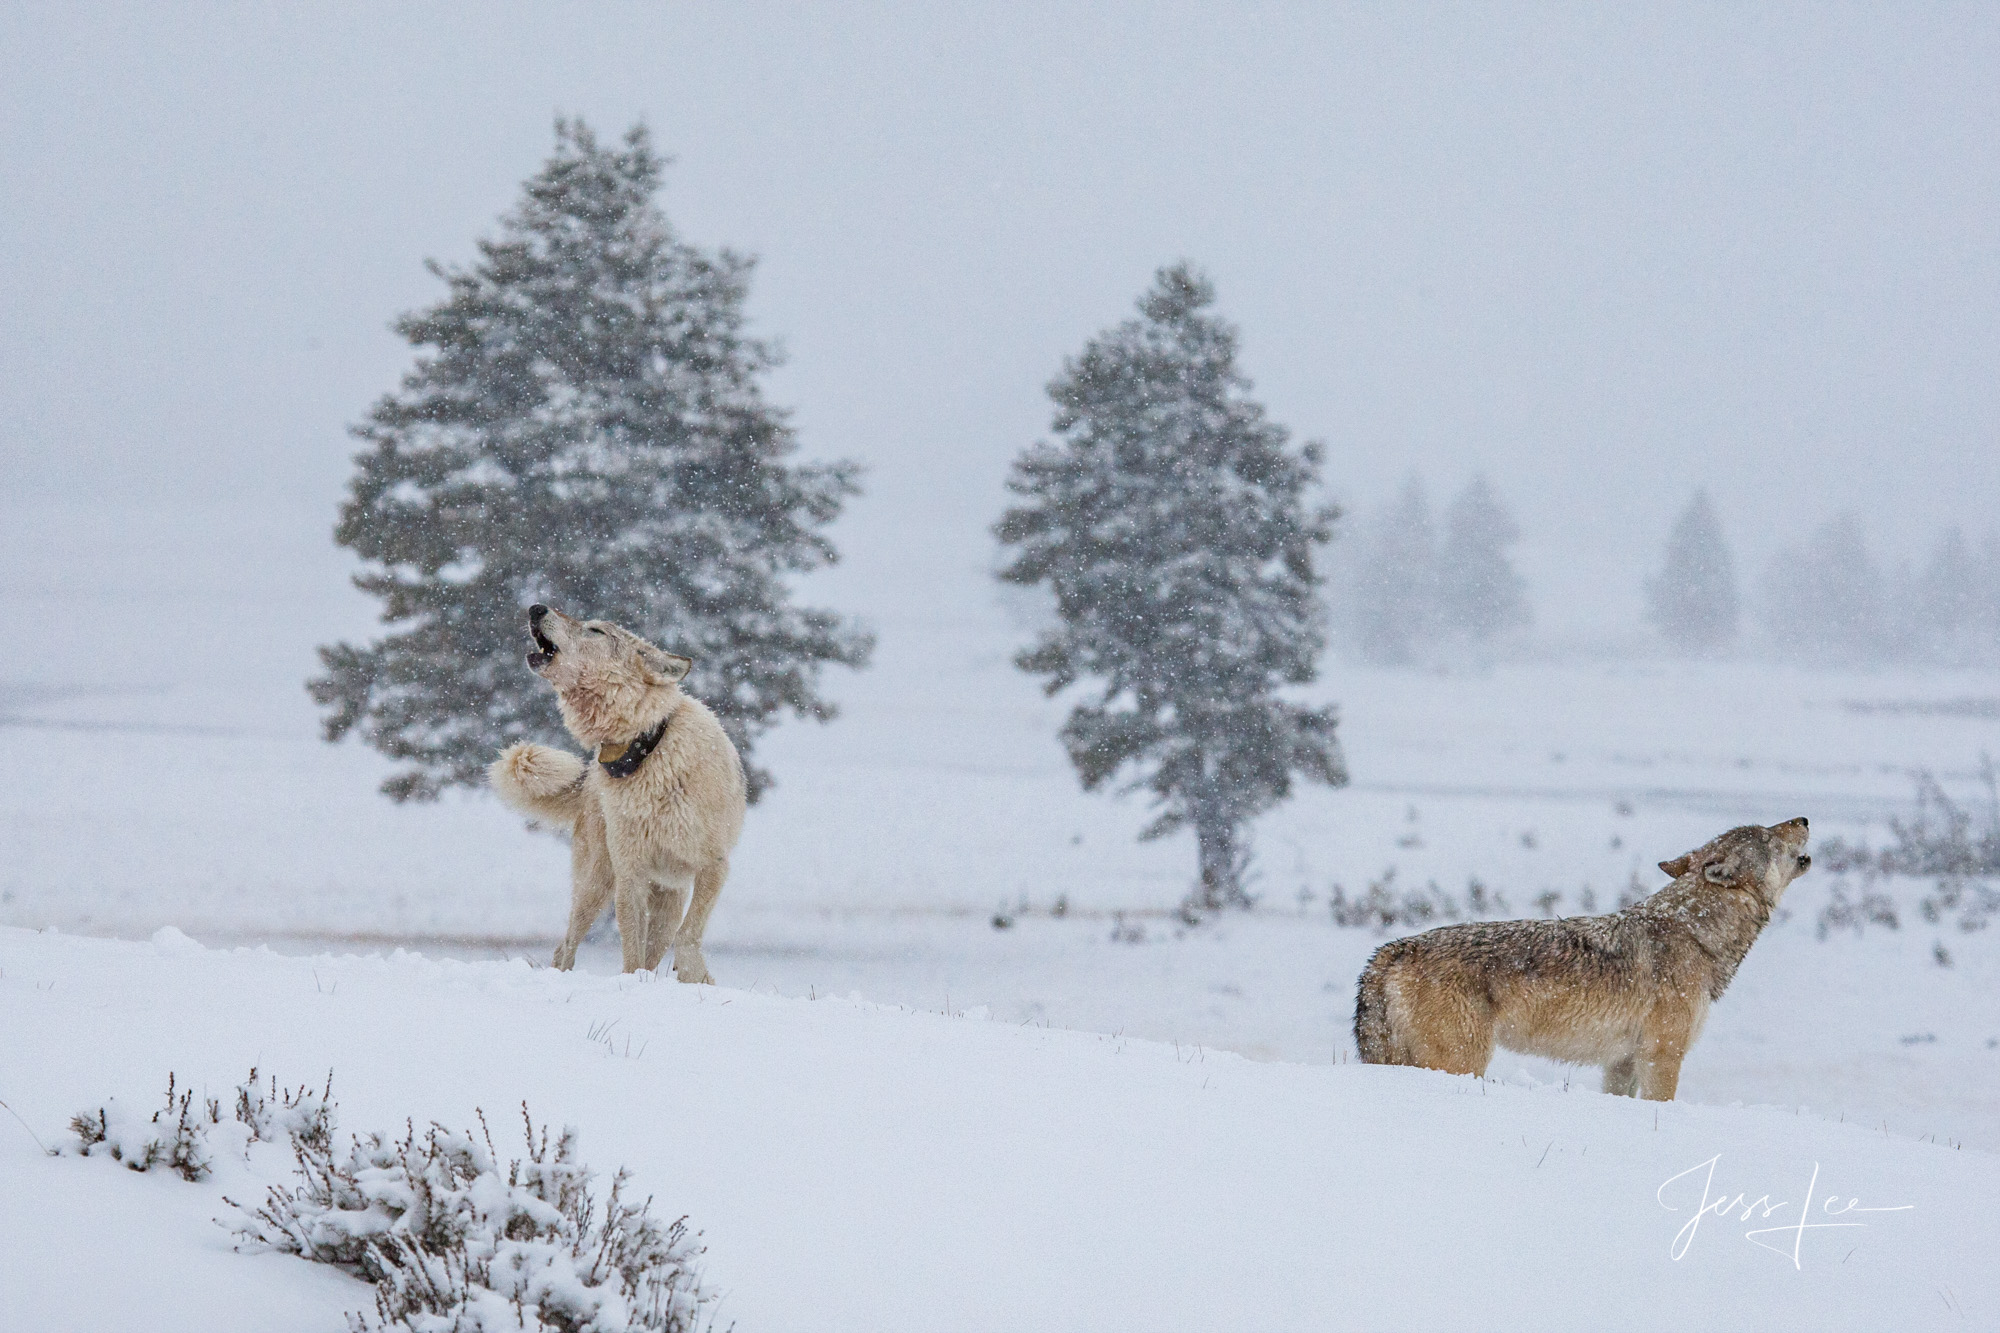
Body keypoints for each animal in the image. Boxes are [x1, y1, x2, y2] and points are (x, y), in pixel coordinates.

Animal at [488, 604, 746, 981]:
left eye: (596, 631)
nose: (536, 607)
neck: (648, 748)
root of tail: (588, 780)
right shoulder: (630, 876)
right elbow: (631, 950)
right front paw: (635, 982)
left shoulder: (714, 867)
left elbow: (688, 934)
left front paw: (696, 977)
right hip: (596, 885)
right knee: (565, 946)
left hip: (668, 899)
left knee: (659, 946)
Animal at [1352, 818, 1811, 1100]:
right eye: (1768, 836)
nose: (1804, 820)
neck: (1694, 934)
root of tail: (1393, 950)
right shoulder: (1662, 1055)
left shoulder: (1621, 1064)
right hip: (1461, 1062)